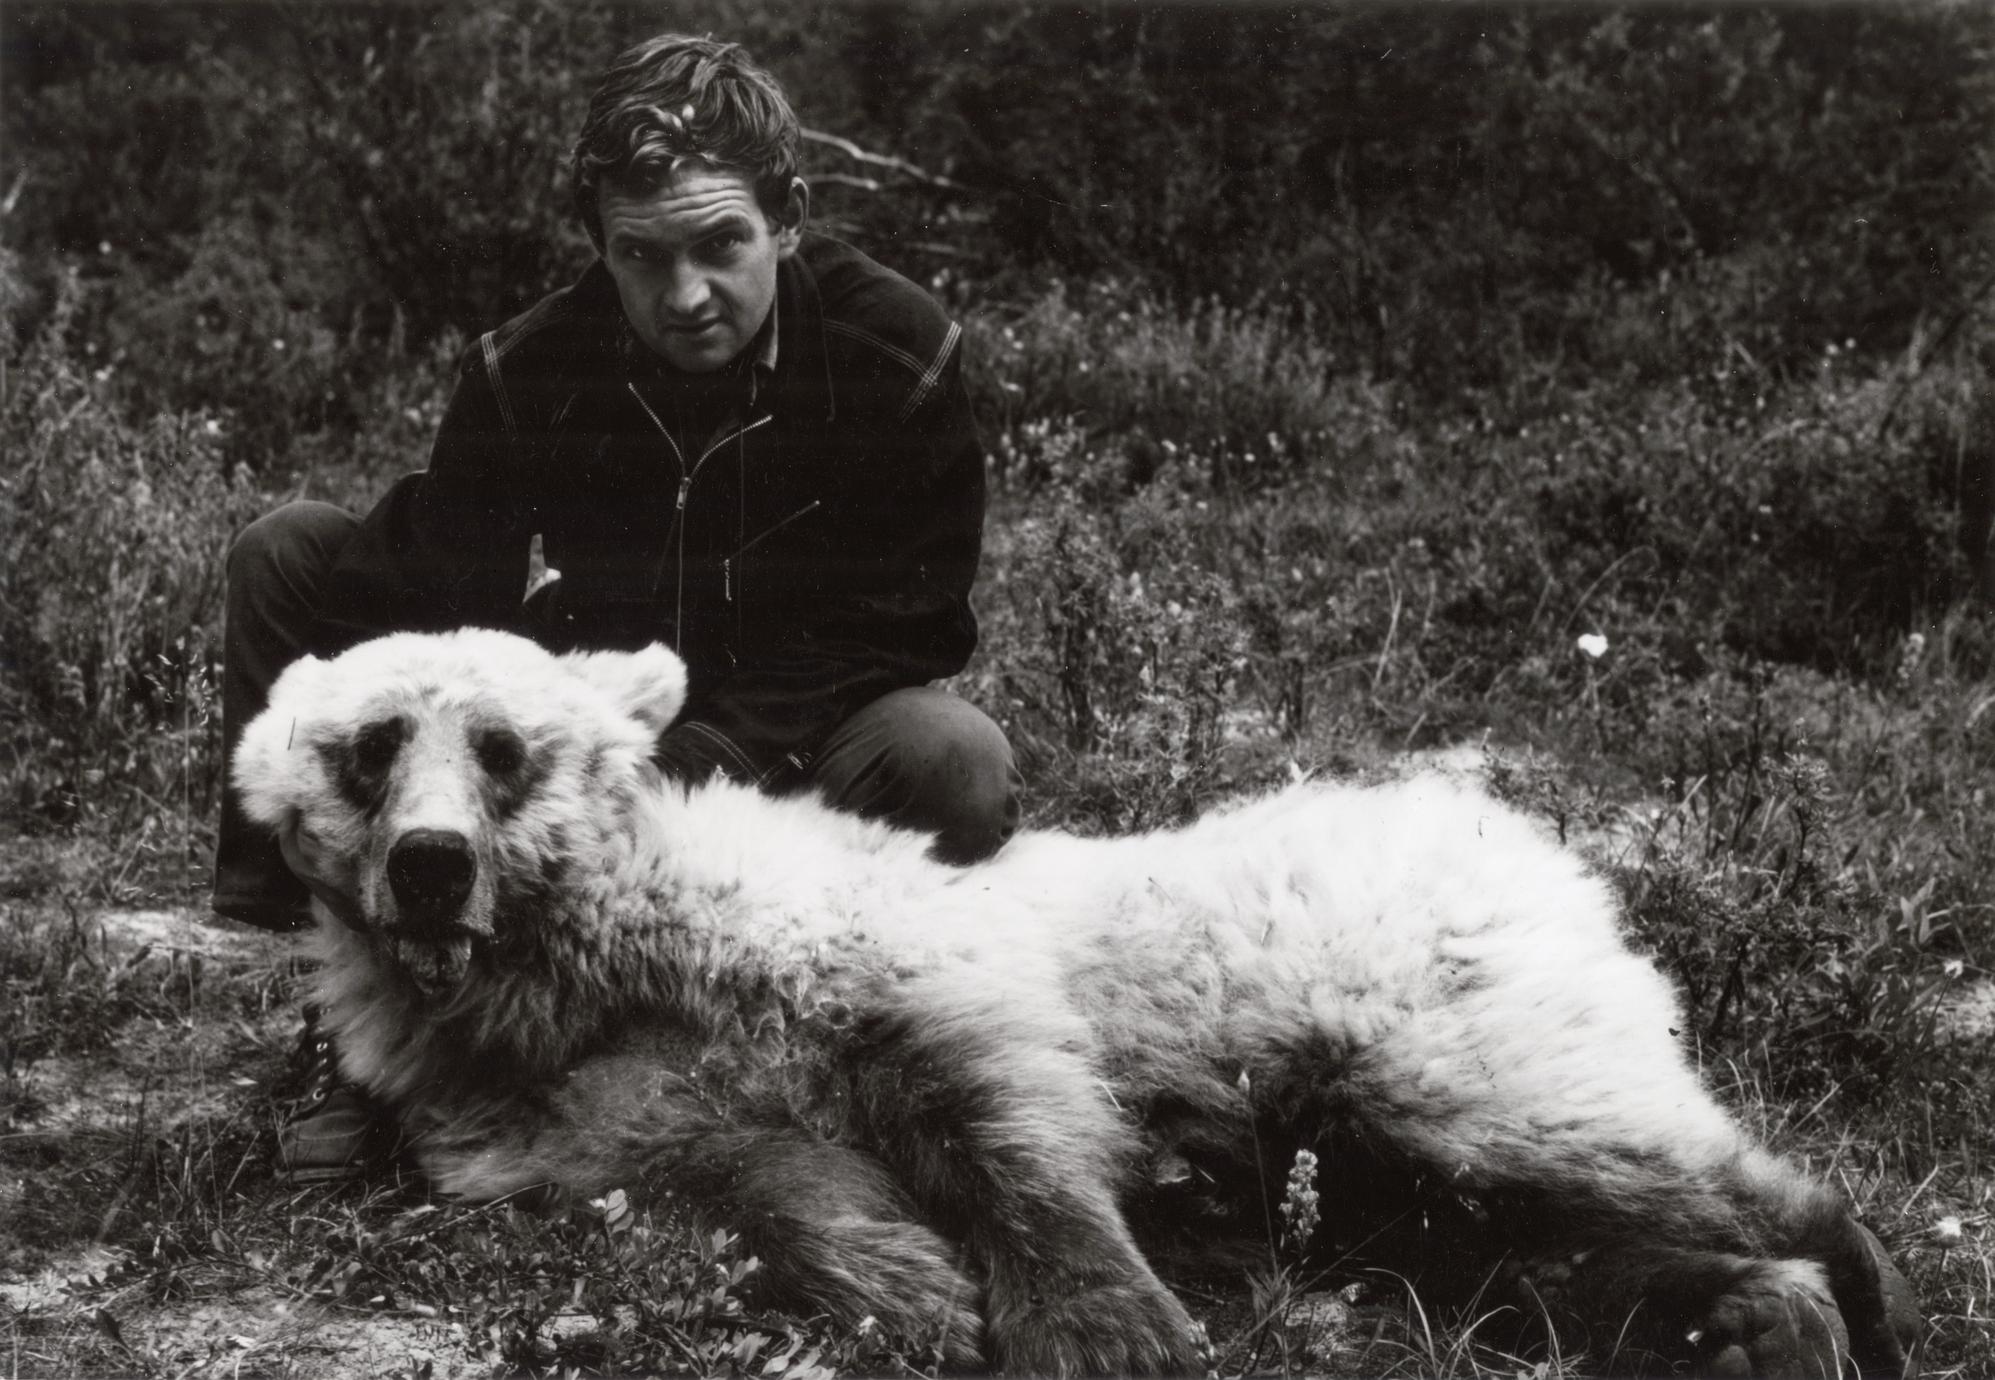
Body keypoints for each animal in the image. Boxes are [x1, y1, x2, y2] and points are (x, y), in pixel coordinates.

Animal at [233, 628, 1921, 1378]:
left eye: (501, 744)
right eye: (370, 743)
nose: (432, 869)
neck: (566, 971)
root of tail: (1527, 832)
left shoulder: (871, 937)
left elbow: (990, 1089)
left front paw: (1105, 1321)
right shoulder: (544, 1110)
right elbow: (719, 1174)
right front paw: (905, 1281)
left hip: (1420, 1007)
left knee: (1572, 1144)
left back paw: (1838, 1285)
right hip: (1387, 1161)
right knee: (1502, 1242)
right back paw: (1748, 1321)